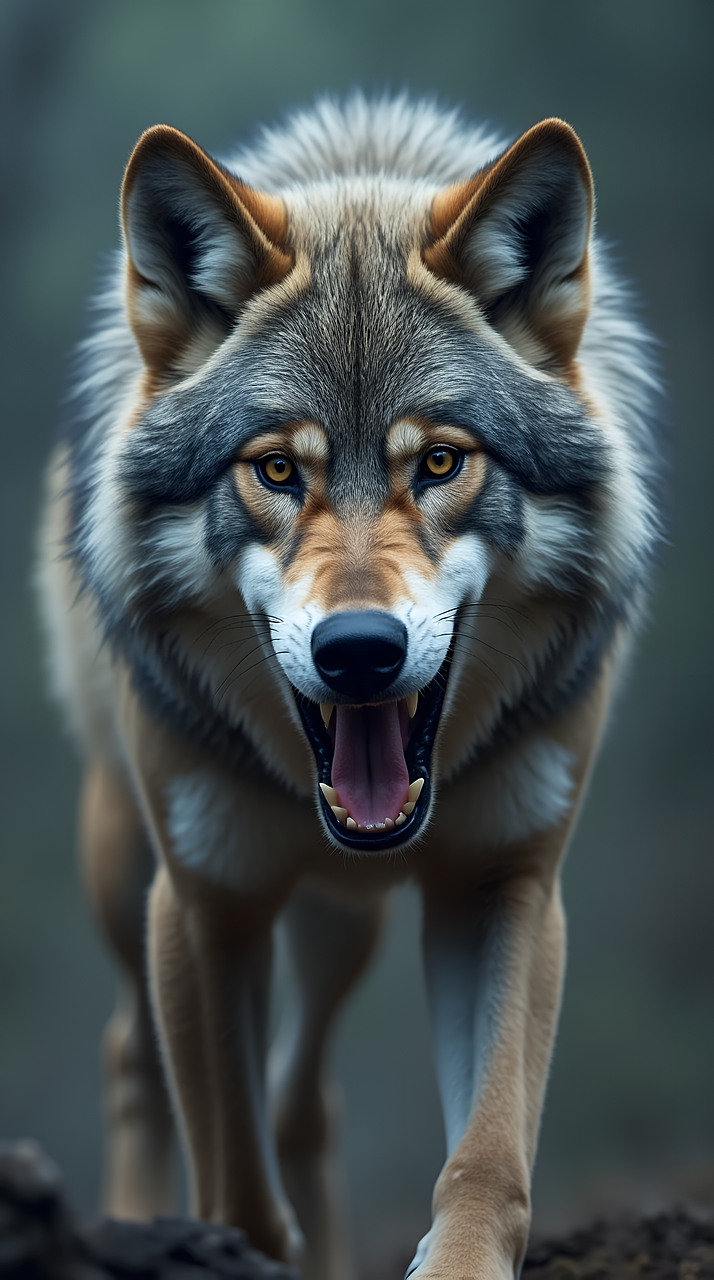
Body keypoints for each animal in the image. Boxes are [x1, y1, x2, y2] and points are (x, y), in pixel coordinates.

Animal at [37, 95, 661, 1280]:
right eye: (278, 469)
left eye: (440, 463)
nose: (360, 650)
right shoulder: (206, 899)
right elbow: (232, 1176)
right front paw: (225, 1244)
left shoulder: (505, 882)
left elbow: (487, 1154)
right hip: (122, 861)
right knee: (132, 1055)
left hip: (338, 929)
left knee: (304, 1100)